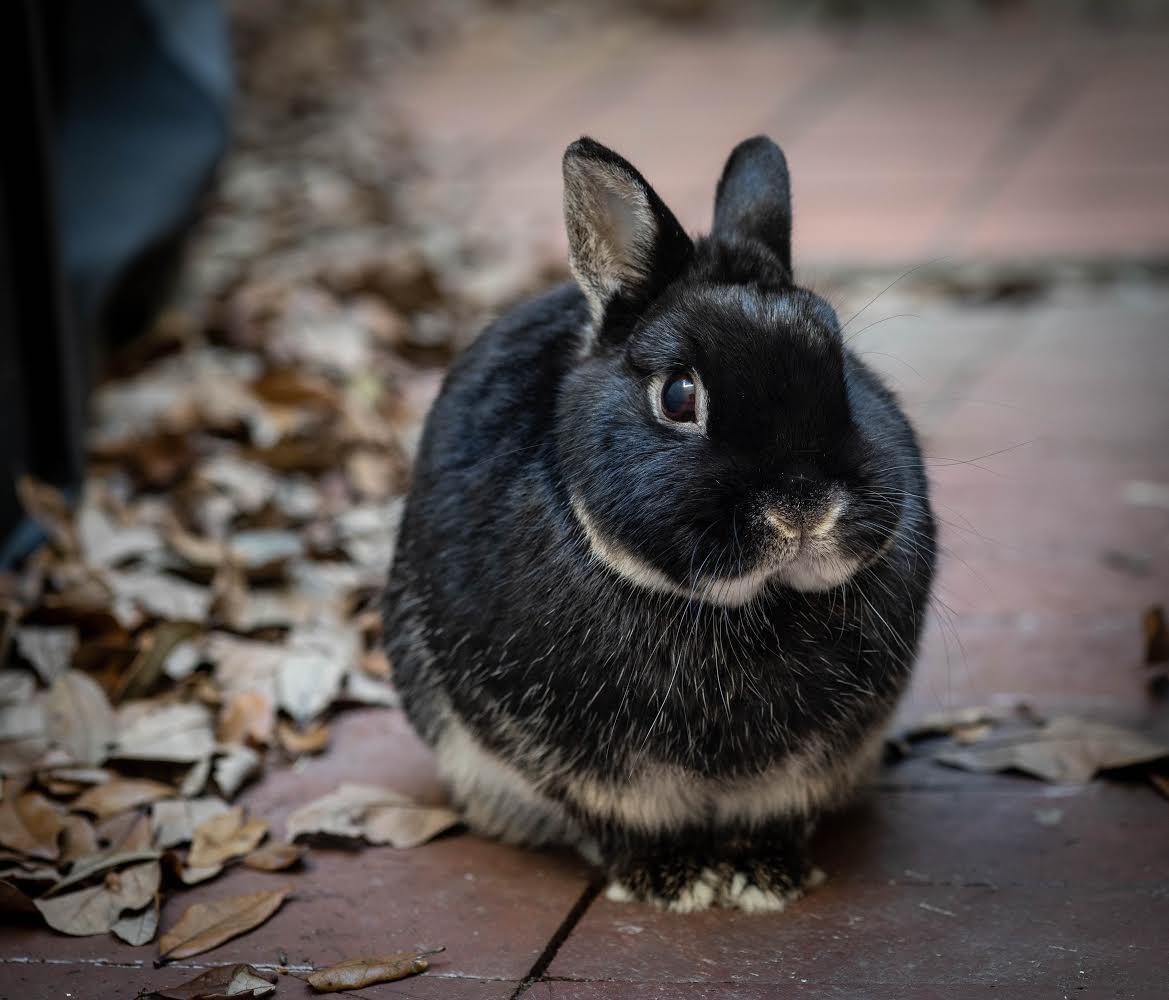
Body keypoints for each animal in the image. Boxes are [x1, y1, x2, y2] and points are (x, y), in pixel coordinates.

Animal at [384, 135, 936, 913]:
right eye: (678, 396)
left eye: (841, 372)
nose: (804, 509)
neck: (740, 612)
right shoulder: (575, 766)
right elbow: (621, 821)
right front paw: (669, 881)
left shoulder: (814, 765)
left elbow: (777, 814)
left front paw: (765, 877)